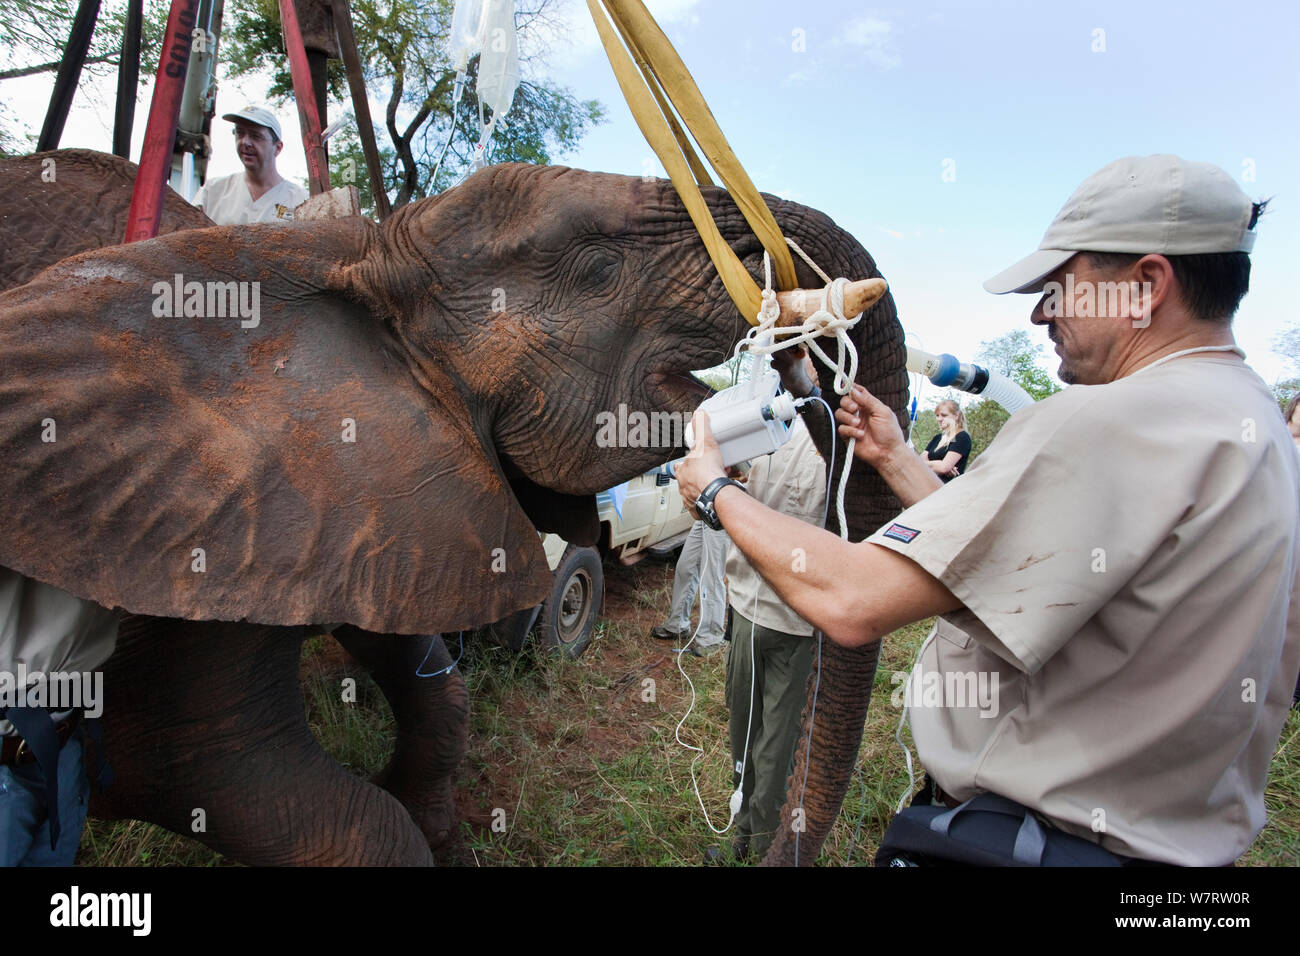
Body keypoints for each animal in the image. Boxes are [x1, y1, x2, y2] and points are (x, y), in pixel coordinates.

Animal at [0, 148, 907, 865]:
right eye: (598, 271)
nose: (808, 381)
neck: (361, 251)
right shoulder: (186, 535)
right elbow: (207, 767)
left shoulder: (357, 500)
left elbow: (428, 671)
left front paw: (444, 833)